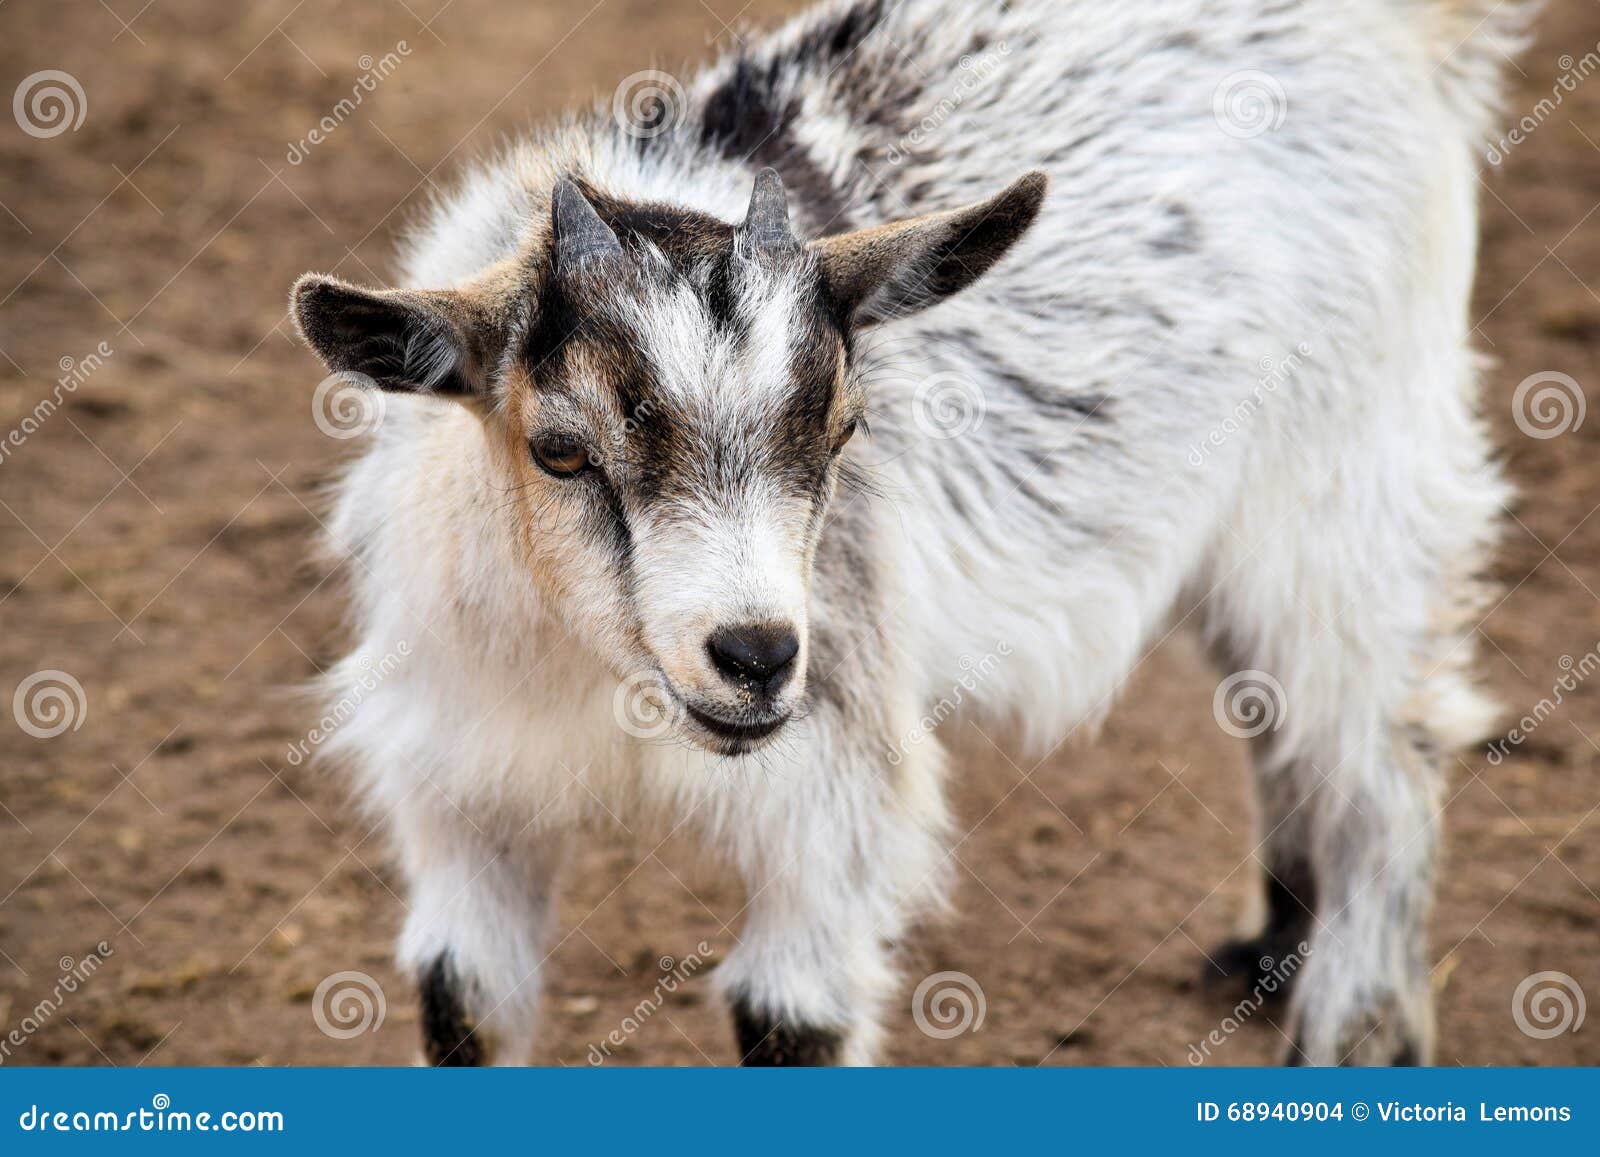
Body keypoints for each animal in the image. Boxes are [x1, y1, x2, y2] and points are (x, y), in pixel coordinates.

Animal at [291, 0, 1531, 1065]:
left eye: (845, 429)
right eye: (560, 450)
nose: (756, 654)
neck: (599, 682)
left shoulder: (826, 797)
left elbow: (787, 1017)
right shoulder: (459, 794)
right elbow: (462, 1004)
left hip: (1353, 481)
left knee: (1383, 753)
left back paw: (1353, 1031)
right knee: (1278, 701)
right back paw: (1273, 944)